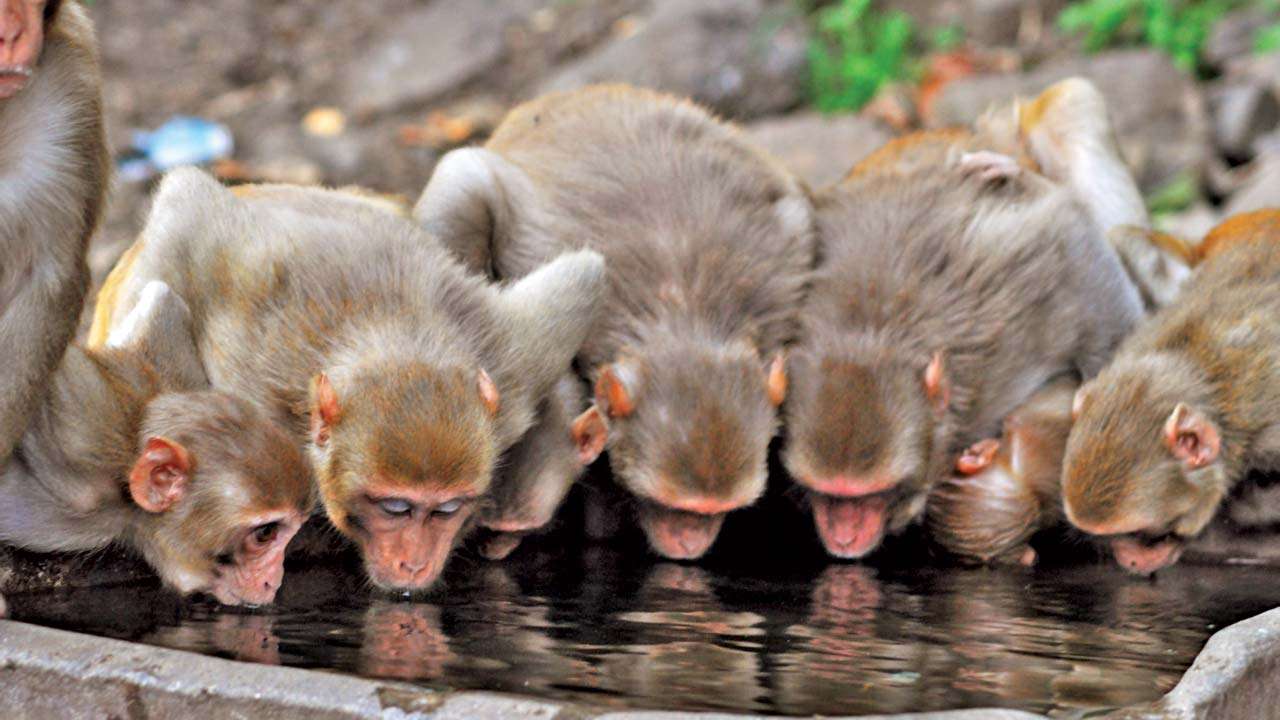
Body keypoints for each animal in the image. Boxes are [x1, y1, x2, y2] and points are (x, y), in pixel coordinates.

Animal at [89, 169, 606, 592]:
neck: (397, 334)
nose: (414, 565)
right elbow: (187, 208)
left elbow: (585, 275)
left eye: (446, 510)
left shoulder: (516, 363)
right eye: (396, 508)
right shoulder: (252, 378)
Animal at [415, 84, 813, 561]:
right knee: (466, 180)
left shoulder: (789, 257)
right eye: (675, 507)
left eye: (718, 511)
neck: (687, 309)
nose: (690, 545)